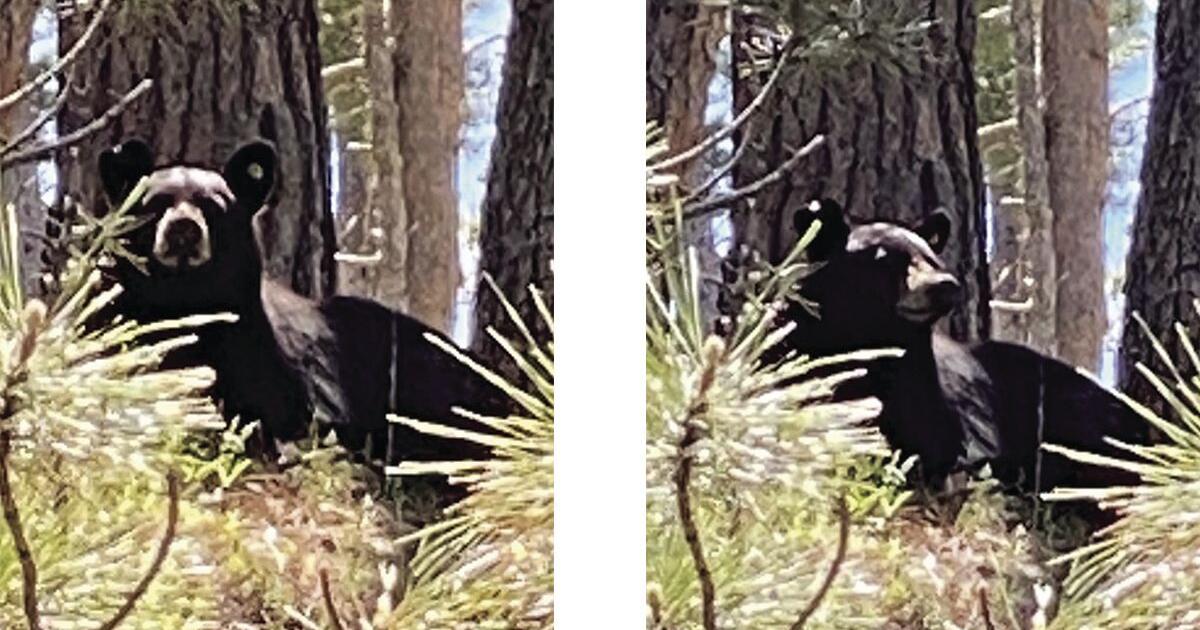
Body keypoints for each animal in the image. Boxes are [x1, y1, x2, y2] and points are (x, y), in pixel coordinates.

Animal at [94, 138, 505, 467]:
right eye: (156, 203)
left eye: (213, 207)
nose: (184, 230)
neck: (185, 301)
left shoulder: (266, 351)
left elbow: (282, 408)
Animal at [775, 198, 1145, 500]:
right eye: (883, 259)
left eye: (931, 258)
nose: (944, 286)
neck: (873, 348)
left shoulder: (932, 396)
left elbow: (936, 446)